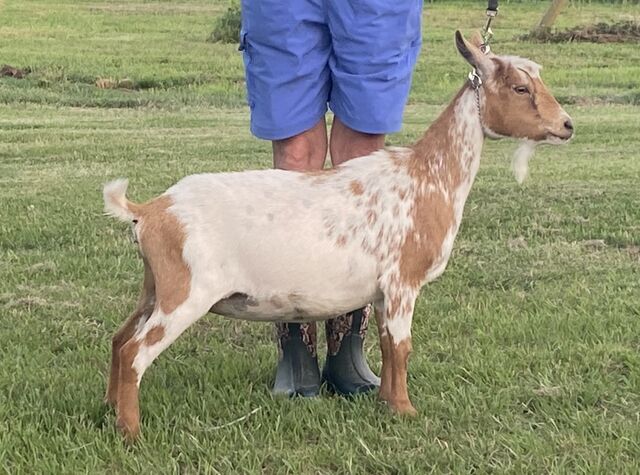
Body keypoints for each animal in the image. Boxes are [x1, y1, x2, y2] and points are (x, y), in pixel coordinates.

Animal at [103, 31, 573, 440]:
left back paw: (109, 412)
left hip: (155, 287)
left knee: (119, 338)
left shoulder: (382, 293)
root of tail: (150, 210)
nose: (567, 125)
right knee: (135, 352)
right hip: (186, 293)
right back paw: (132, 433)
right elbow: (402, 346)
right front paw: (406, 411)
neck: (427, 177)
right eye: (519, 87)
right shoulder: (402, 282)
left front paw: (385, 402)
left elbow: (386, 345)